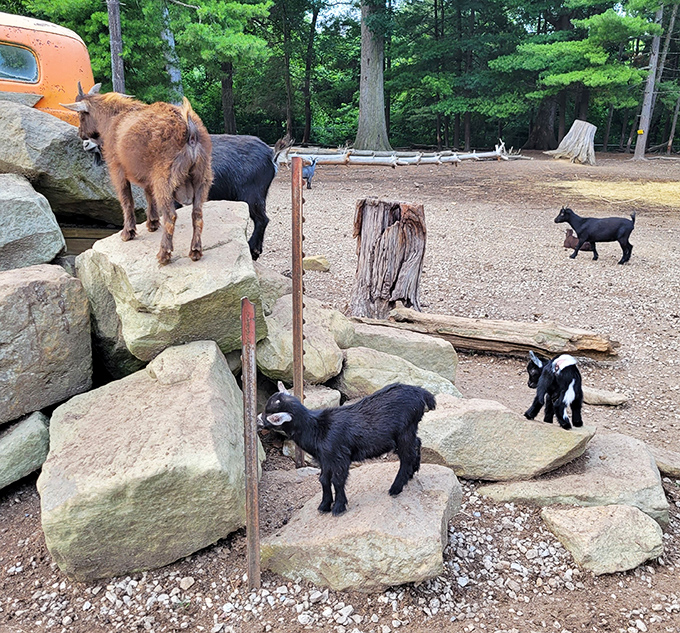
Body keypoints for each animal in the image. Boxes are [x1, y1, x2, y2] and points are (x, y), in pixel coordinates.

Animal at [64, 83, 212, 265]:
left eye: (80, 115)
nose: (81, 135)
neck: (113, 119)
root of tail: (190, 130)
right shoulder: (148, 174)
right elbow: (149, 195)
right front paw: (152, 223)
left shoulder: (117, 168)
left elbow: (126, 199)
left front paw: (128, 233)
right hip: (202, 177)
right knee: (197, 214)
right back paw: (195, 251)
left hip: (165, 178)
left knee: (170, 216)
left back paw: (164, 254)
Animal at [257, 382, 436, 516]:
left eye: (270, 416)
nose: (258, 420)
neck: (317, 429)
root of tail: (422, 392)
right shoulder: (325, 459)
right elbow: (323, 479)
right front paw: (324, 505)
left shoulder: (339, 457)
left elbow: (337, 480)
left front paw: (338, 507)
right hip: (410, 430)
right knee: (417, 443)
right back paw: (412, 473)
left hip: (404, 431)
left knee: (407, 456)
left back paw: (396, 488)